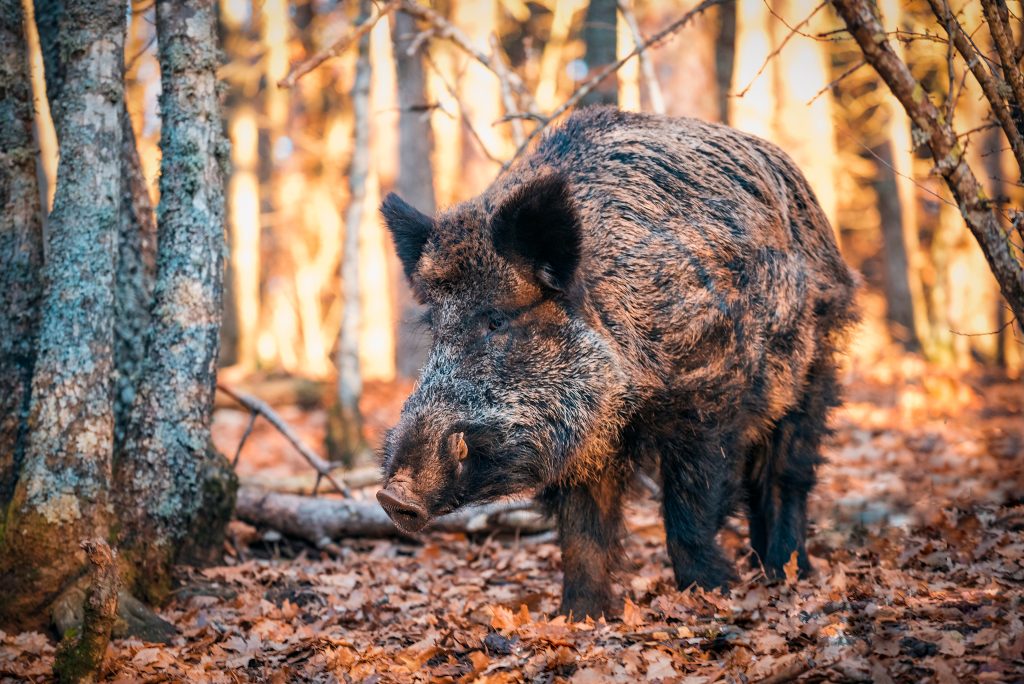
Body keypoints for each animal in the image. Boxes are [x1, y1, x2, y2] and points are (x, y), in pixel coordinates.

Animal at [376, 107, 858, 619]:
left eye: (495, 320)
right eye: (435, 326)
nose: (392, 494)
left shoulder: (707, 397)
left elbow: (690, 510)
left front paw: (712, 594)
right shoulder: (584, 444)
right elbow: (582, 534)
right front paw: (578, 617)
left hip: (816, 364)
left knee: (788, 474)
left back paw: (788, 574)